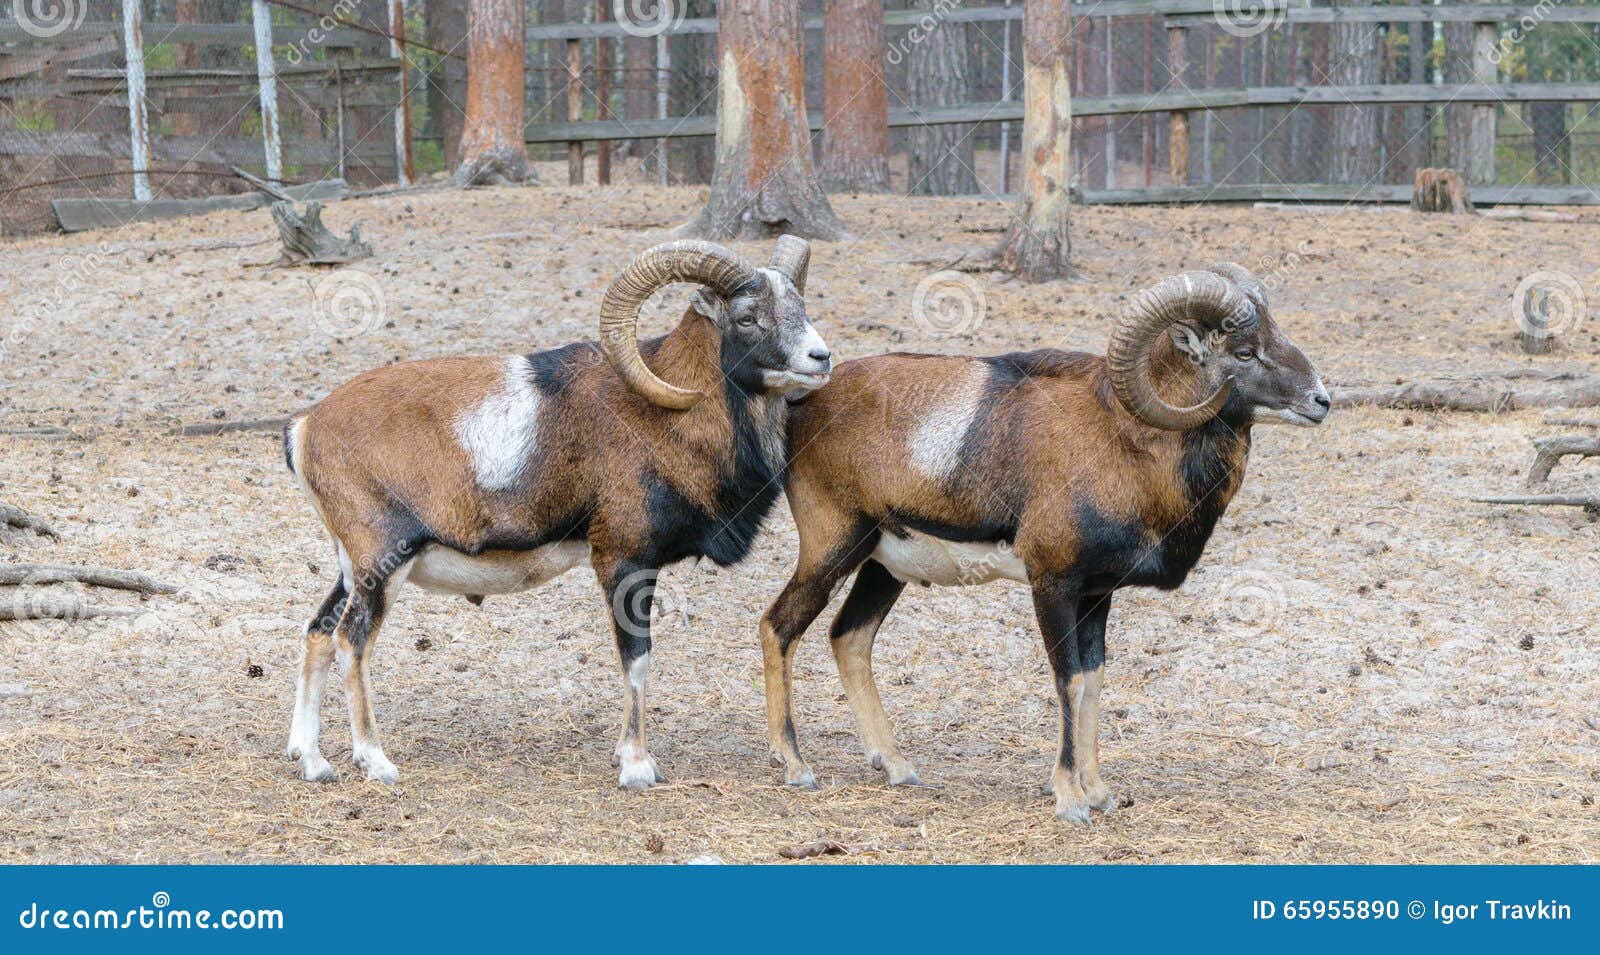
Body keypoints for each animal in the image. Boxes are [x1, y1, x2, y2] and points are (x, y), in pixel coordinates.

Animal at [283, 237, 831, 788]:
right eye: (746, 317)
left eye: (799, 306)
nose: (820, 357)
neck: (667, 418)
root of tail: (306, 427)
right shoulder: (624, 561)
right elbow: (636, 660)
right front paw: (637, 767)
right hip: (382, 564)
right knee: (350, 642)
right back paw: (375, 761)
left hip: (352, 569)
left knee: (318, 634)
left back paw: (313, 760)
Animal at [758, 264, 1329, 822]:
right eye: (1244, 352)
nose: (1321, 402)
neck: (1127, 448)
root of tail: (805, 404)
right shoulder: (1053, 585)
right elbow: (1068, 682)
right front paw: (1071, 802)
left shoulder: (1097, 595)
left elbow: (1094, 682)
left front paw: (1099, 794)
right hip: (833, 549)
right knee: (779, 626)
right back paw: (796, 766)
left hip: (883, 568)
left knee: (849, 638)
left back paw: (898, 767)